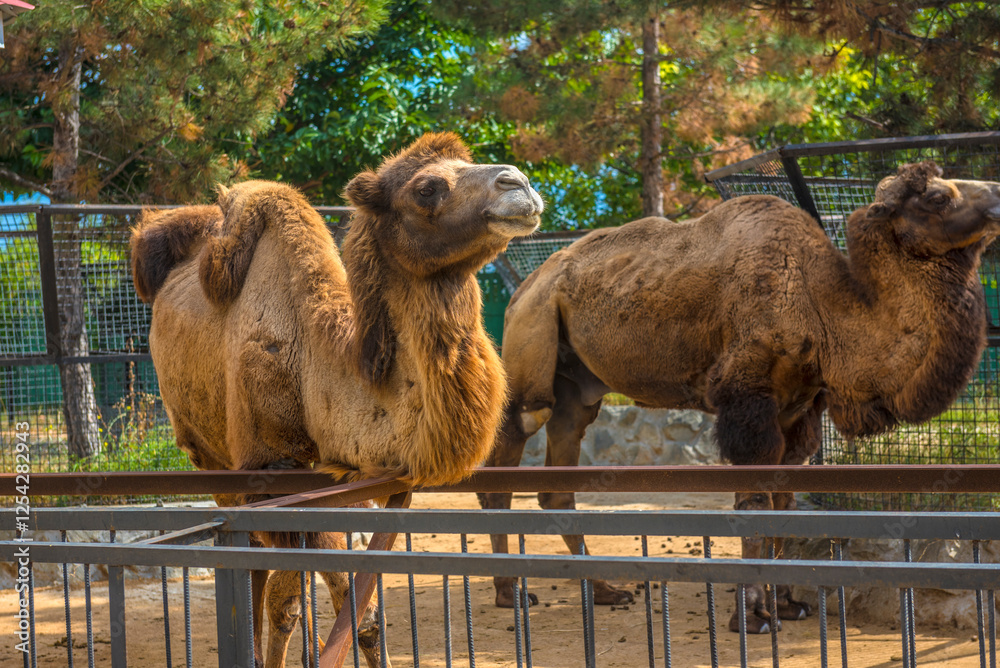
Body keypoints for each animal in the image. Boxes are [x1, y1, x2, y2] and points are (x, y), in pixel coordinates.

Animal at [130, 133, 543, 667]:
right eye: (427, 188)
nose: (519, 183)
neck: (314, 358)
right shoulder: (271, 468)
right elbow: (288, 602)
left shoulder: (351, 473)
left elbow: (362, 609)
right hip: (209, 456)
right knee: (253, 562)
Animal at [479, 161, 1000, 633]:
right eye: (937, 196)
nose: (997, 192)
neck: (820, 306)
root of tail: (526, 284)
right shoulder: (747, 398)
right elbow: (752, 504)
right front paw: (750, 618)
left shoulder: (798, 411)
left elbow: (784, 507)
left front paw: (788, 605)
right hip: (532, 339)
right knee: (514, 441)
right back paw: (510, 592)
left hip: (577, 384)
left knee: (559, 475)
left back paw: (606, 590)